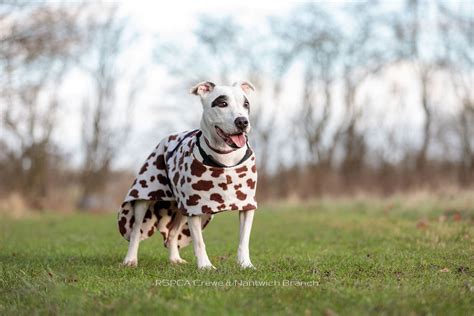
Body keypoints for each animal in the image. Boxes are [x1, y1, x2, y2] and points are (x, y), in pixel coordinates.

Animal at [118, 81, 260, 270]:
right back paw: (130, 259)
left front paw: (245, 264)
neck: (225, 158)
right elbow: (199, 241)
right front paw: (205, 266)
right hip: (144, 197)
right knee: (135, 231)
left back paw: (175, 259)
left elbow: (244, 240)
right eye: (222, 103)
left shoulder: (247, 205)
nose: (243, 121)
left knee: (172, 233)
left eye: (246, 104)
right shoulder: (195, 208)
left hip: (180, 208)